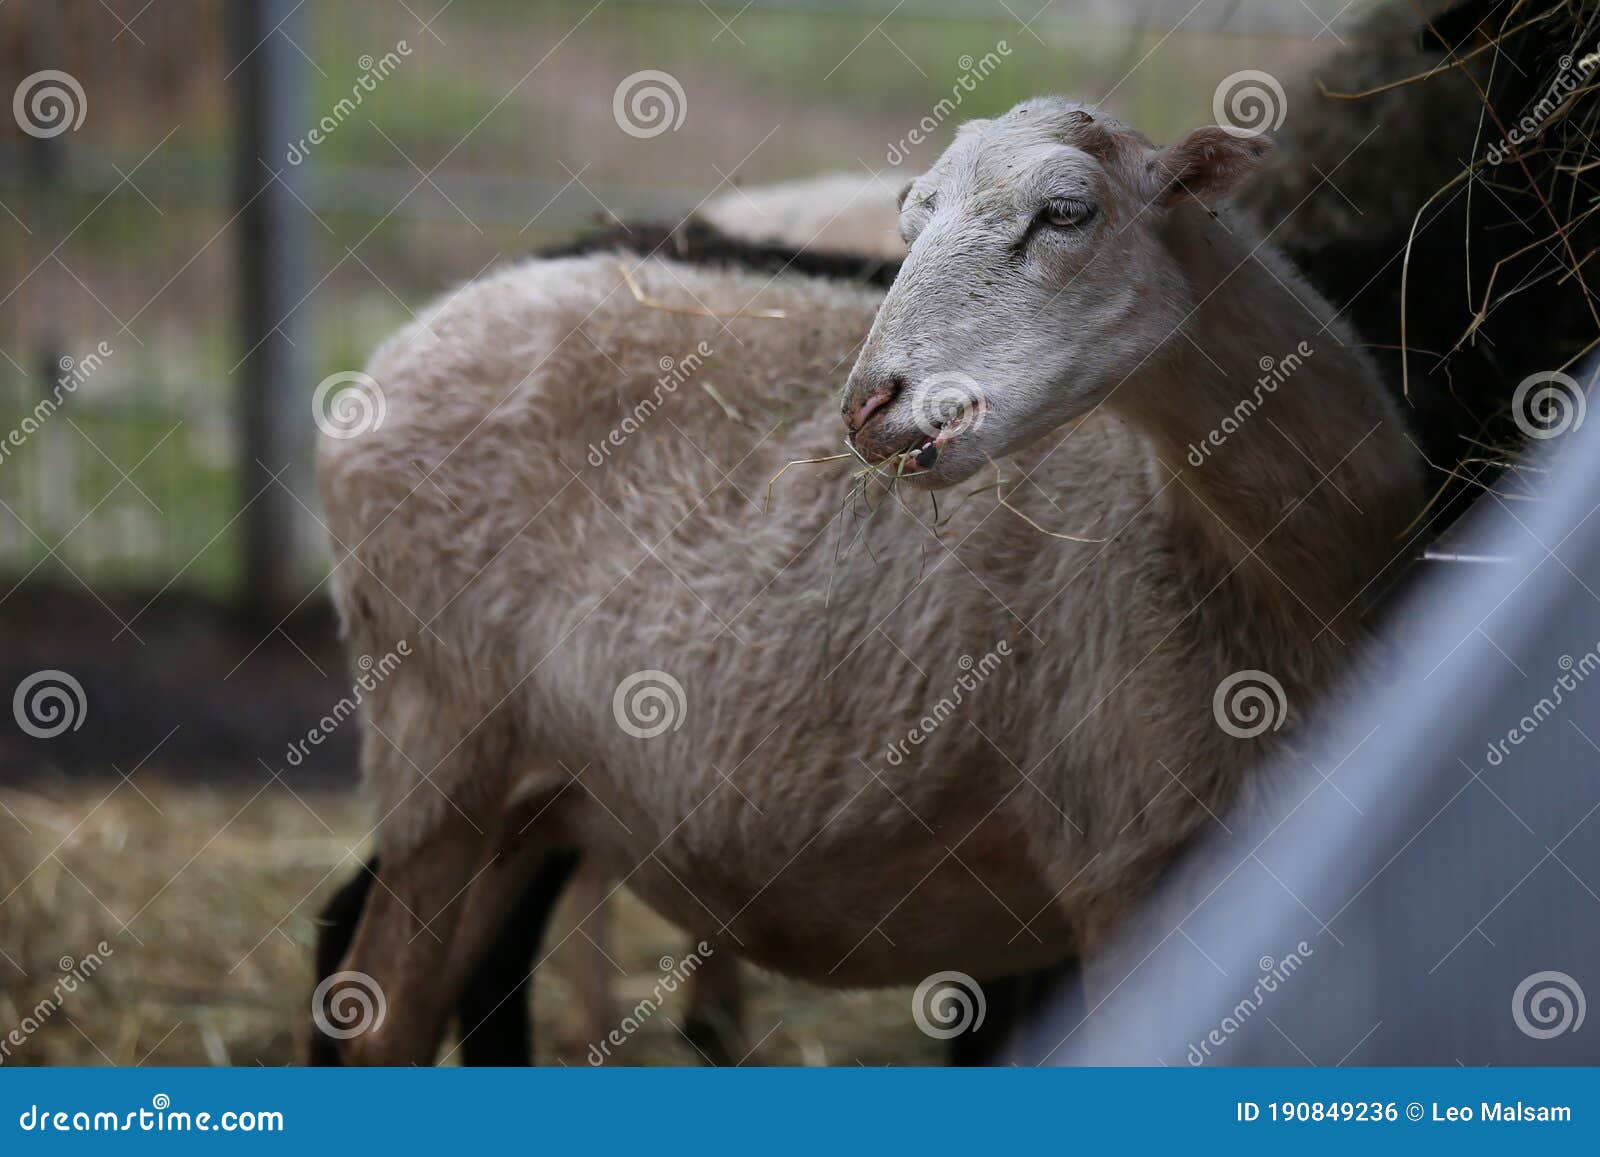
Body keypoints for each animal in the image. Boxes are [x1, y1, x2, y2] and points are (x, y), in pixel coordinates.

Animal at [313, 97, 1423, 1064]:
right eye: (911, 218)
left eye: (1068, 213)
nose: (869, 402)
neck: (1267, 569)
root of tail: (419, 332)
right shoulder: (1122, 855)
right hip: (437, 740)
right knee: (381, 1020)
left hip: (530, 792)